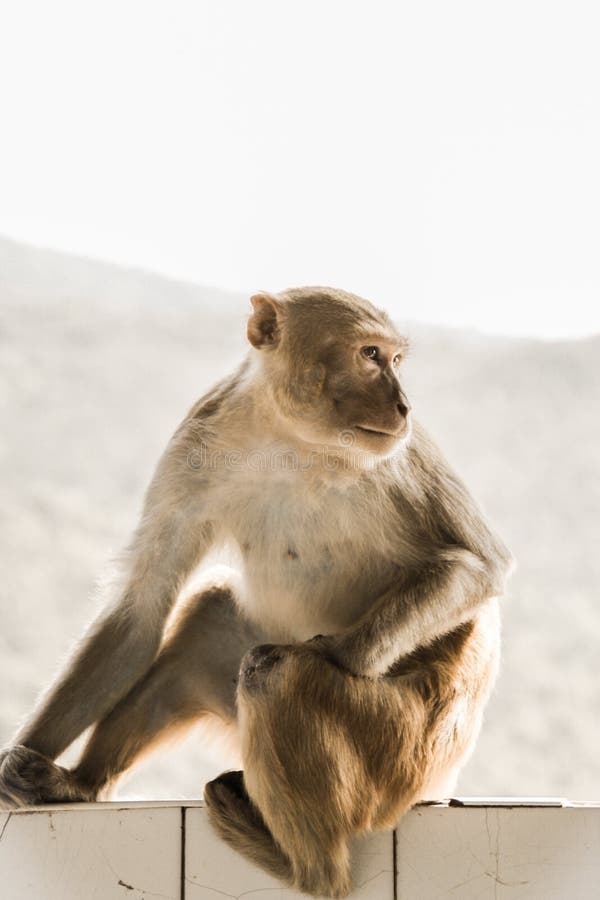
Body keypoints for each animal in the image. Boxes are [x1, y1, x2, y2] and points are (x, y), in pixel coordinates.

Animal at [0, 288, 511, 893]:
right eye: (370, 355)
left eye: (393, 358)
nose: (405, 406)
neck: (292, 438)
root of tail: (439, 780)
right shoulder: (195, 440)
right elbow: (143, 606)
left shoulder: (405, 457)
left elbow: (479, 564)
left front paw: (334, 651)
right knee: (206, 619)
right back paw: (81, 782)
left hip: (398, 753)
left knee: (274, 672)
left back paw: (311, 870)